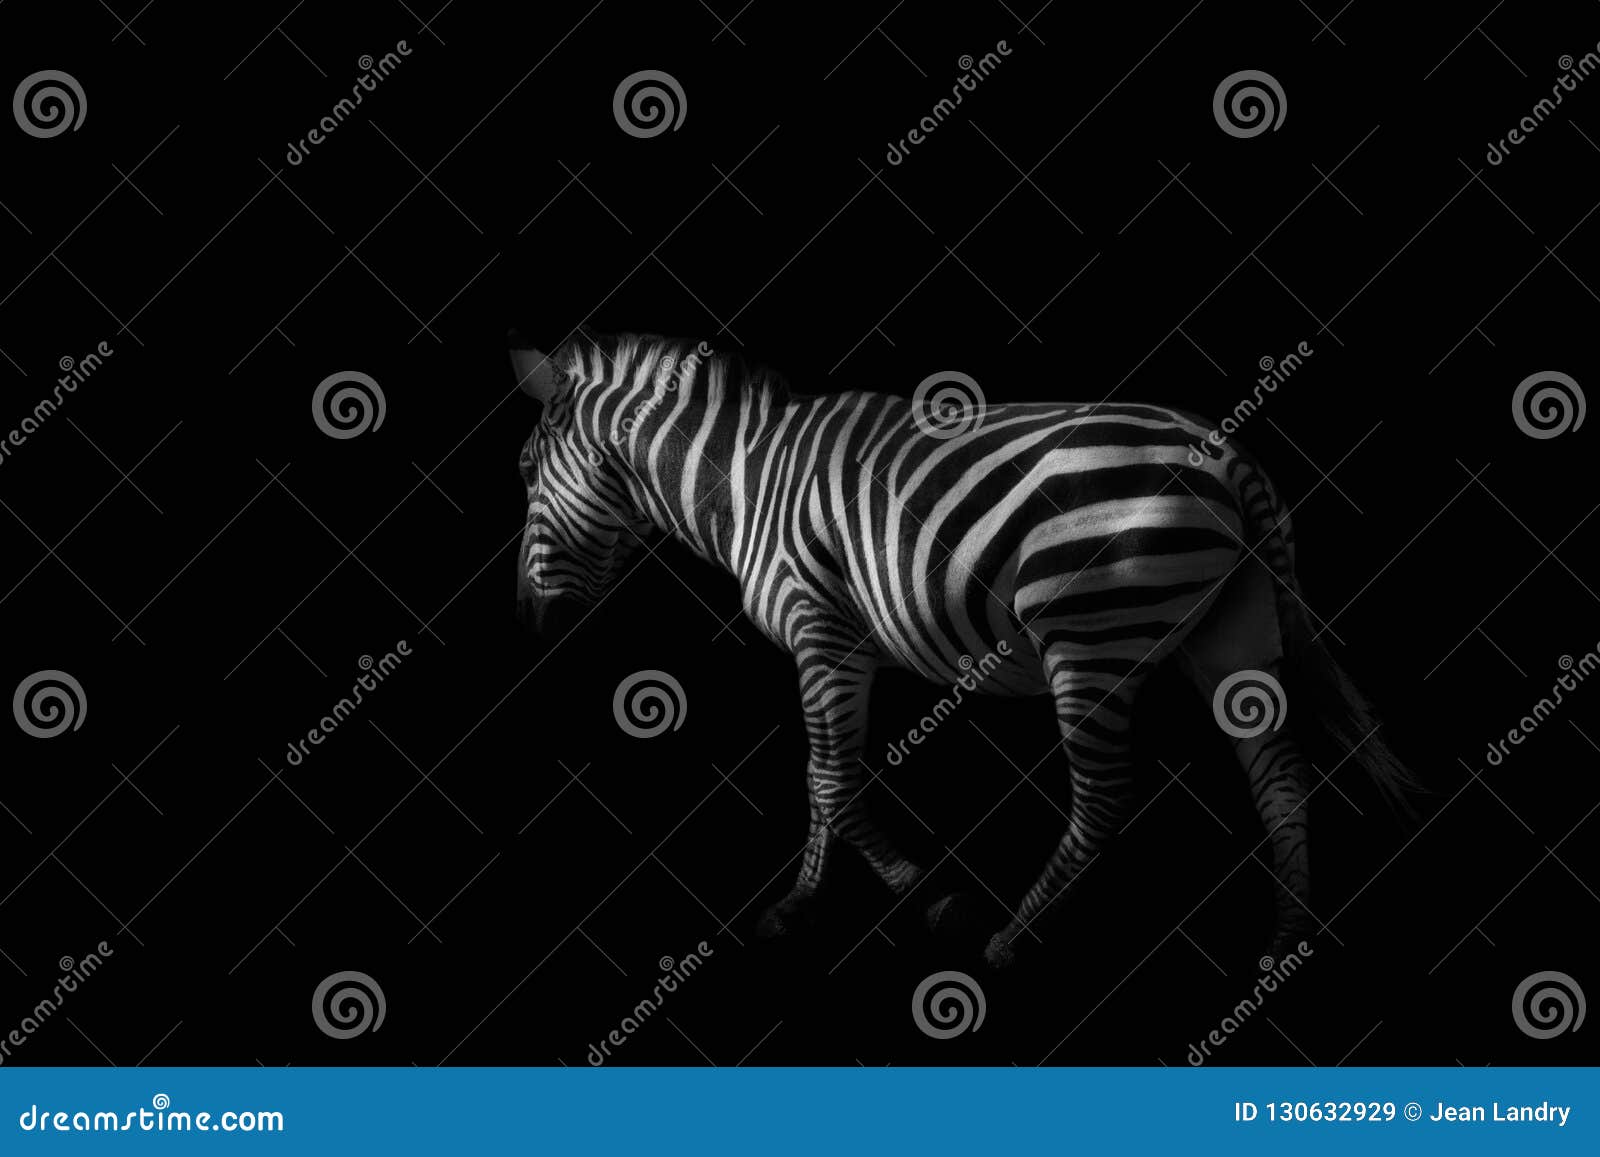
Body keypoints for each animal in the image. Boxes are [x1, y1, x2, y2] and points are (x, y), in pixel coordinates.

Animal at [511, 329, 1417, 969]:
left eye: (522, 469)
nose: (532, 620)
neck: (745, 479)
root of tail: (1231, 455)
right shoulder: (842, 647)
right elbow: (827, 774)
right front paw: (822, 902)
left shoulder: (821, 626)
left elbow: (830, 778)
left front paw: (913, 899)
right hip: (1231, 624)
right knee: (1278, 771)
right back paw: (1285, 939)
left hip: (1091, 631)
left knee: (1106, 796)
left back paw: (1011, 937)